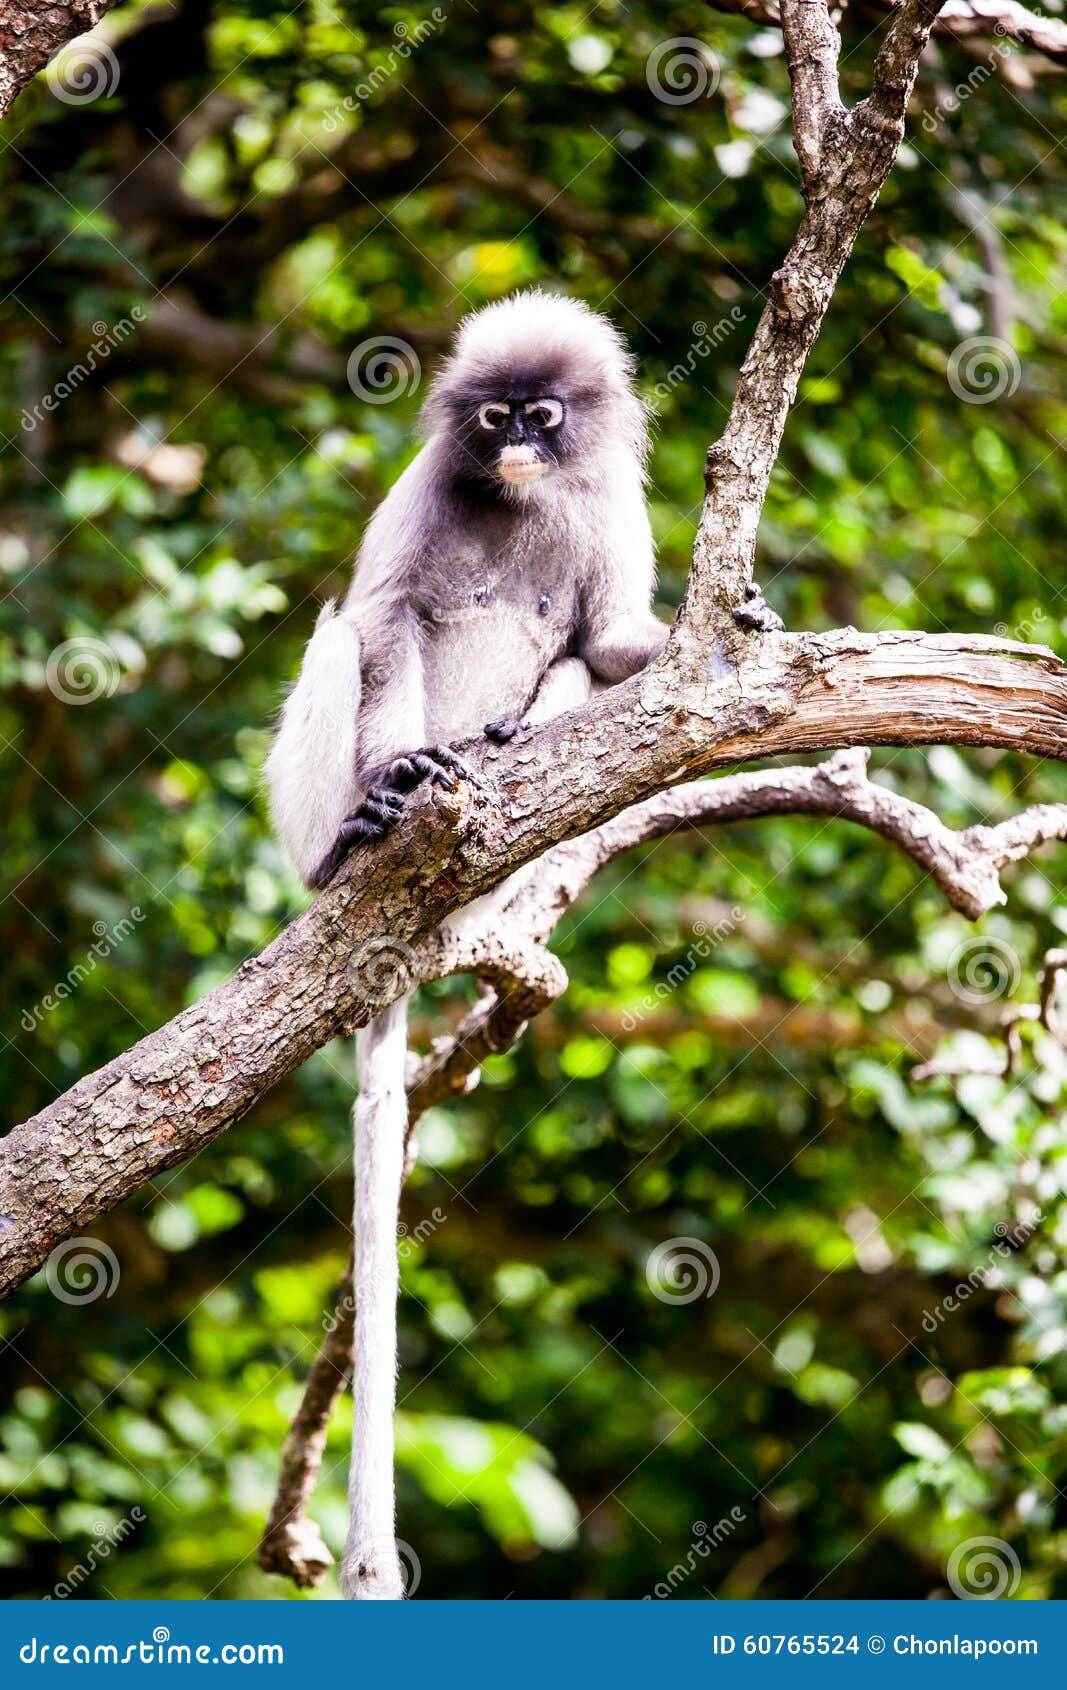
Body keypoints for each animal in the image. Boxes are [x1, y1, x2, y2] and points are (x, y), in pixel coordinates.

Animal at [266, 289, 779, 1598]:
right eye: (493, 417)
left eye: (542, 417)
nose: (514, 444)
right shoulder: (420, 500)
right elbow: (385, 623)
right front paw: (398, 777)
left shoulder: (605, 509)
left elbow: (607, 646)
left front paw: (740, 617)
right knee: (338, 636)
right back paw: (360, 836)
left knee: (561, 679)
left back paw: (497, 764)